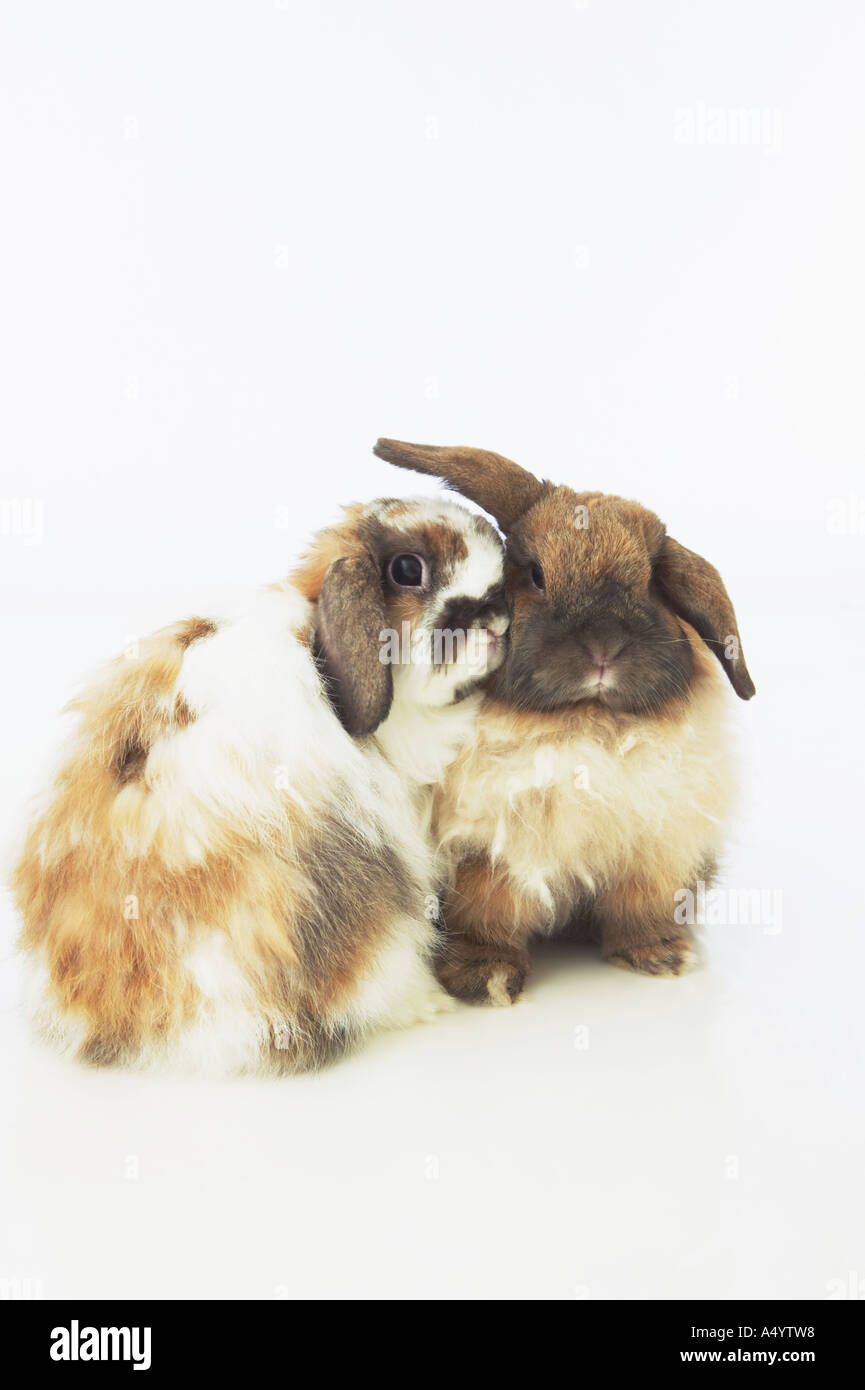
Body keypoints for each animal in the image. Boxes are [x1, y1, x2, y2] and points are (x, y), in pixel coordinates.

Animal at [373, 439, 755, 1005]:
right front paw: (487, 978)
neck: (585, 724)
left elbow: (640, 908)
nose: (604, 646)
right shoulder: (486, 859)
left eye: (650, 581)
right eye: (535, 574)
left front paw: (659, 955)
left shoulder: (657, 852)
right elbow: (485, 917)